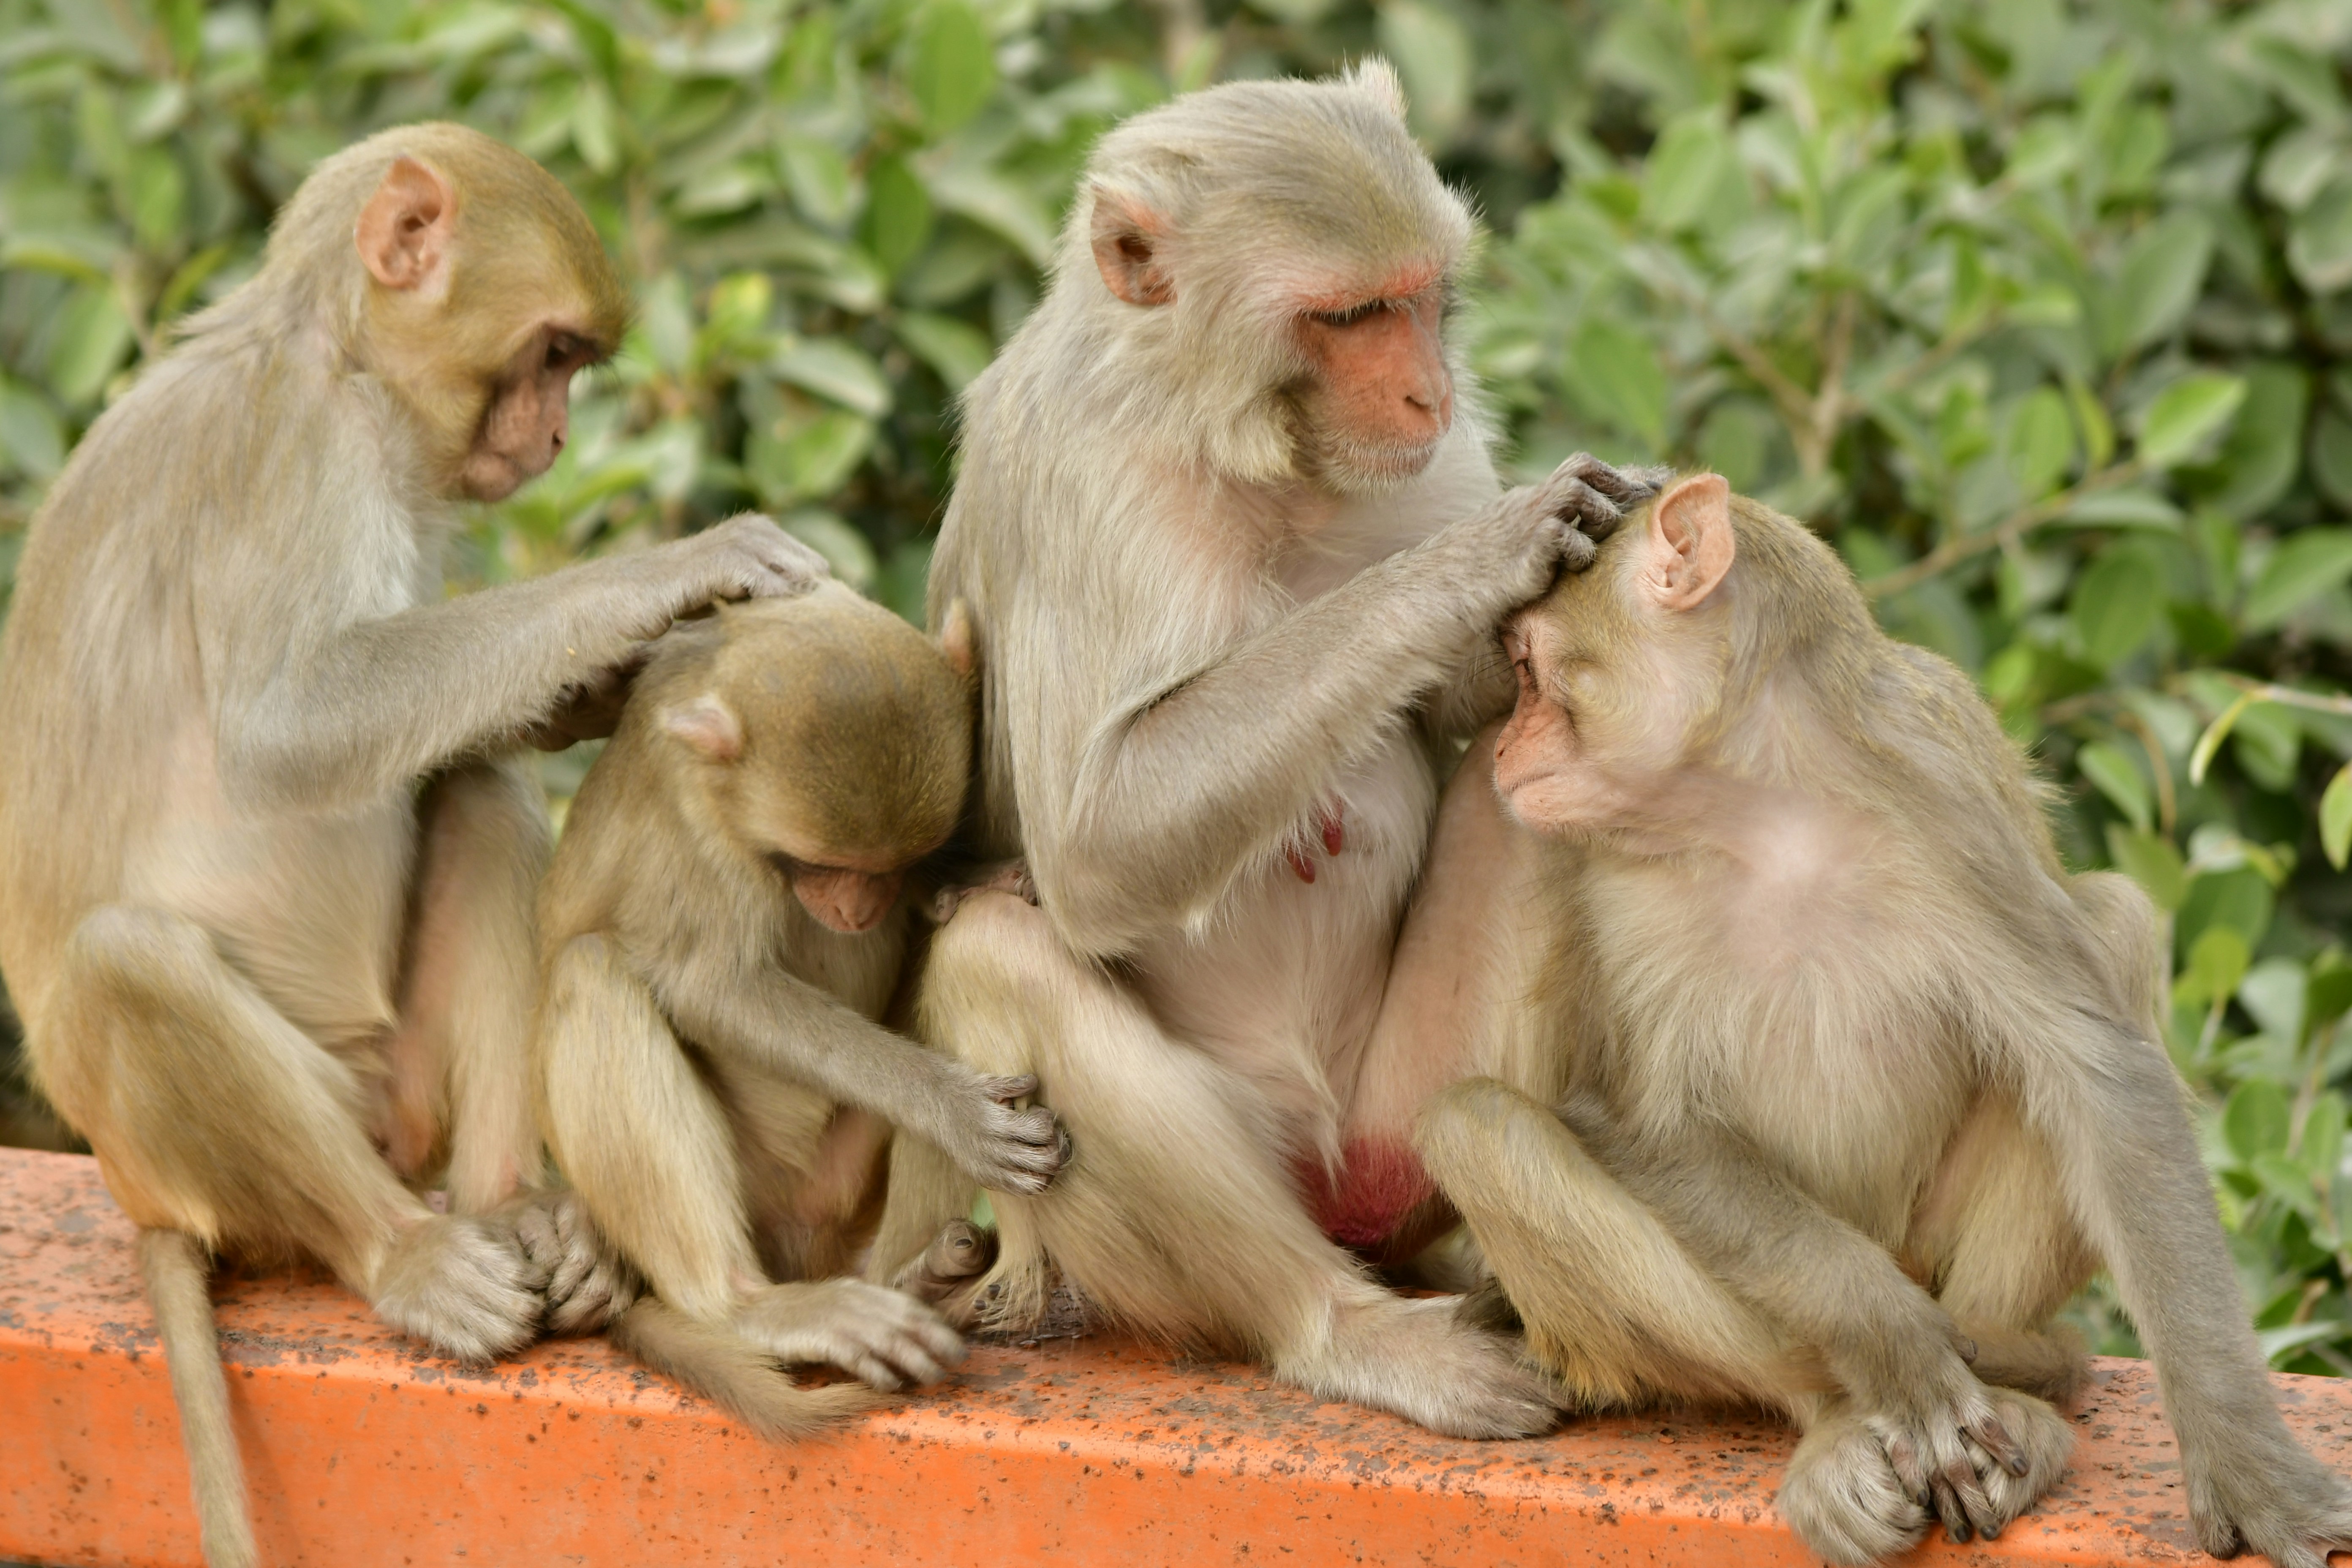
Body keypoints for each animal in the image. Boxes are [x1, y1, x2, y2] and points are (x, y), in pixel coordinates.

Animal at [0, 124, 829, 1568]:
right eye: (553, 355)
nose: (553, 439)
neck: (331, 354)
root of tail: (141, 1195)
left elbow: (465, 734)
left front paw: (621, 677)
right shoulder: (288, 451)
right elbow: (290, 728)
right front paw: (676, 568)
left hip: (406, 1086)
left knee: (477, 783)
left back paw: (514, 1209)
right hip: (207, 1150)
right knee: (129, 959)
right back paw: (406, 1256)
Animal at [534, 583, 1067, 1437]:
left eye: (894, 864)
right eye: (817, 865)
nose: (856, 907)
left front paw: (965, 878)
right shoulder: (698, 819)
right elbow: (712, 985)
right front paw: (952, 1108)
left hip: (845, 1189)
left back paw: (913, 1277)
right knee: (592, 972)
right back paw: (749, 1308)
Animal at [861, 61, 1658, 1439]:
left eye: (1420, 301)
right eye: (1346, 317)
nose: (1429, 392)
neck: (1245, 453)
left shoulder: (1421, 463)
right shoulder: (1087, 485)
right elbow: (1093, 842)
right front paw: (1476, 564)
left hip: (1400, 1116)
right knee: (998, 956)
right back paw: (1339, 1328)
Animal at [1407, 472, 2352, 1567]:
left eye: (1526, 668)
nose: (1502, 747)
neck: (1761, 805)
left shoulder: (1935, 783)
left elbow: (2094, 1067)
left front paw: (2250, 1467)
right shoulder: (1606, 882)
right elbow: (1648, 1123)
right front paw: (1895, 1347)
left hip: (1928, 1247)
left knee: (2111, 929)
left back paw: (2015, 1379)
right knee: (1480, 1127)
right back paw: (1844, 1416)